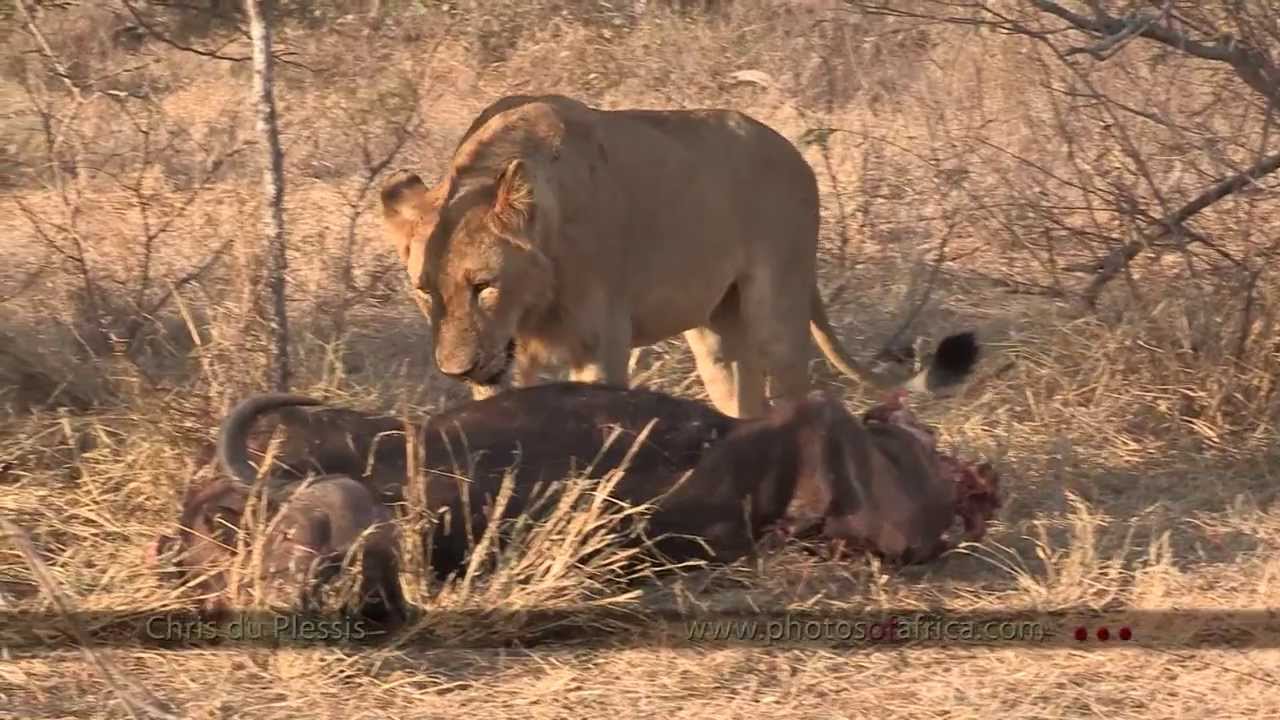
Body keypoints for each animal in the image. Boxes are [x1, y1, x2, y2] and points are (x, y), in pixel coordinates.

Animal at [380, 94, 980, 417]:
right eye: (424, 292)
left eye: (484, 286)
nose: (455, 368)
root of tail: (793, 151)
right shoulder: (504, 364)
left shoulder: (599, 350)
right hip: (717, 334)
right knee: (745, 404)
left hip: (777, 313)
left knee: (796, 396)